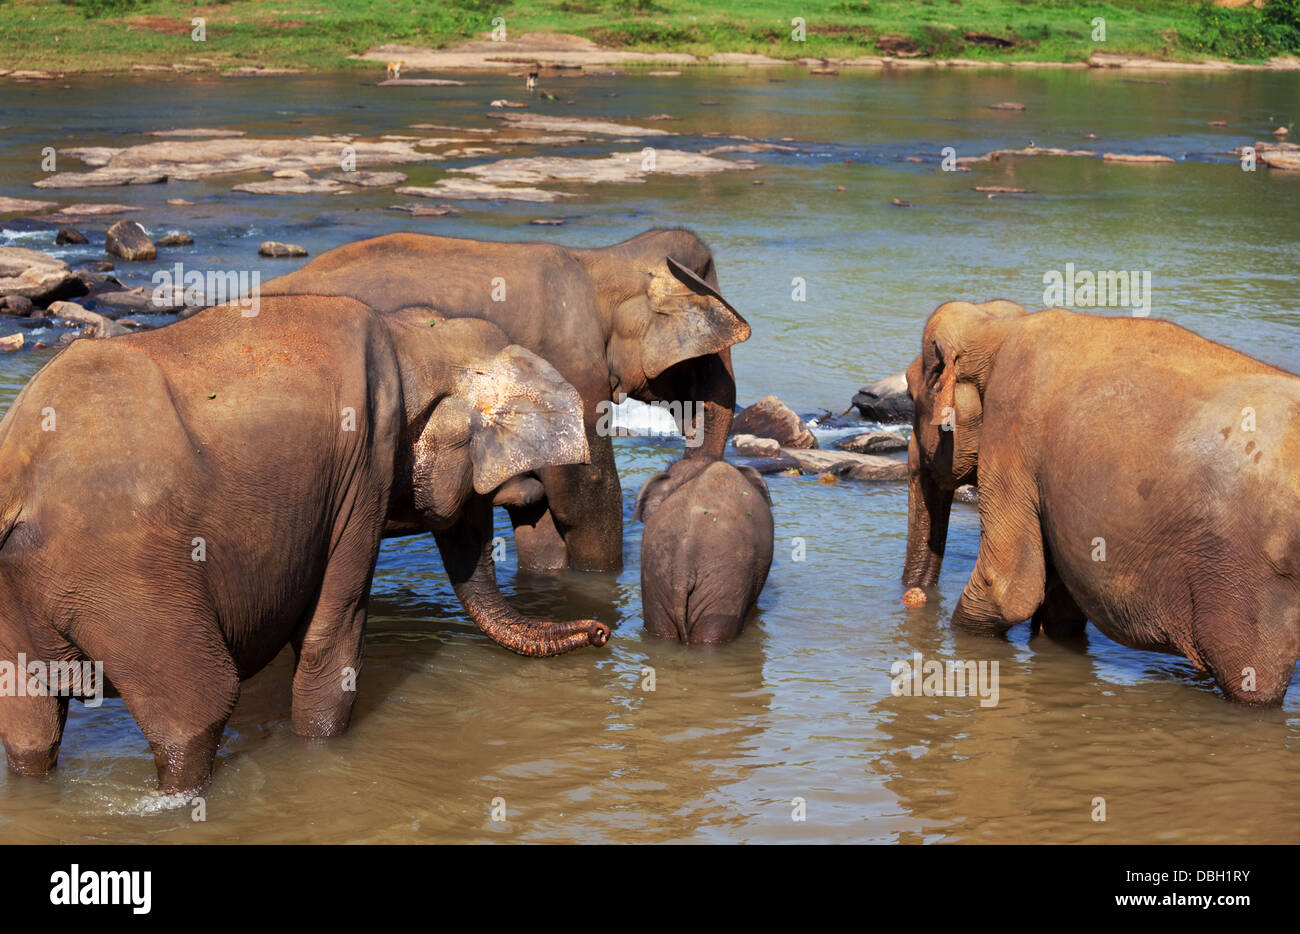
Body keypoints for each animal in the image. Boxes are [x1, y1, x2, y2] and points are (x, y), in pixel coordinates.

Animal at [0, 295, 606, 793]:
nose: (600, 632)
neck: (412, 335)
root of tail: (19, 471)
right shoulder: (363, 470)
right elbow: (330, 636)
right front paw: (319, 751)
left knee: (30, 724)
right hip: (130, 573)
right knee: (198, 707)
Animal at [260, 228, 751, 574]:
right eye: (709, 349)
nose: (666, 483)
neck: (598, 261)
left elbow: (541, 512)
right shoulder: (570, 363)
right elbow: (584, 492)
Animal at [901, 299, 1300, 705]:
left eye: (910, 397)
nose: (914, 596)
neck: (998, 328)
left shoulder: (1010, 434)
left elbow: (1008, 588)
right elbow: (1059, 609)